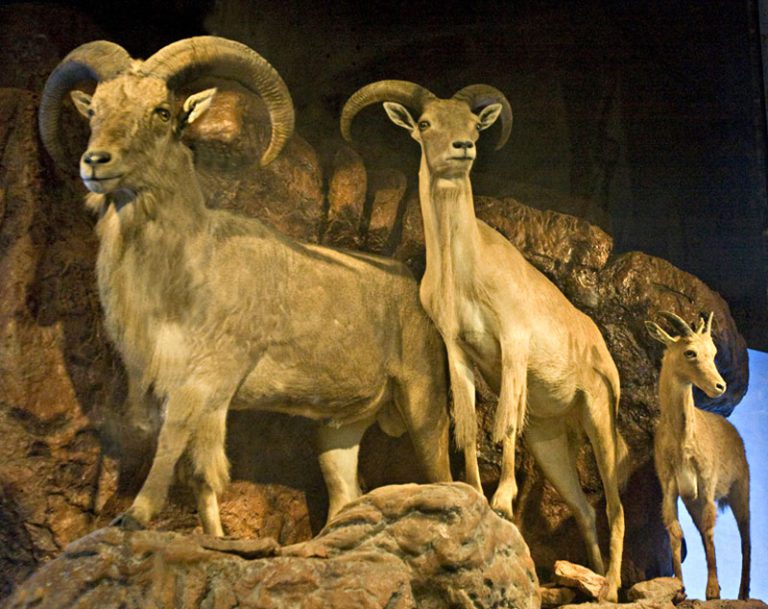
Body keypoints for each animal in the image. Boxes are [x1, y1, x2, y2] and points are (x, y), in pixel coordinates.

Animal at [38, 37, 452, 536]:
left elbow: (174, 443)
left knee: (454, 477)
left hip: (424, 402)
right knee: (345, 494)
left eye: (162, 111)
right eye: (95, 109)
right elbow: (201, 473)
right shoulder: (196, 393)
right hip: (339, 428)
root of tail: (412, 284)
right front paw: (215, 537)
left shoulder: (206, 377)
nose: (95, 162)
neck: (193, 261)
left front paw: (136, 514)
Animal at [341, 80, 627, 601]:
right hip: (550, 439)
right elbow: (470, 426)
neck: (465, 272)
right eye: (426, 123)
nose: (464, 147)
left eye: (475, 124)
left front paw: (502, 500)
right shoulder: (459, 352)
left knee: (615, 506)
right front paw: (474, 493)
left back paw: (612, 588)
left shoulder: (512, 345)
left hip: (599, 413)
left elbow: (504, 425)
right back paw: (588, 579)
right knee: (584, 506)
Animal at [646, 311, 750, 599]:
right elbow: (675, 531)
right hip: (694, 501)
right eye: (690, 352)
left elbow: (710, 528)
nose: (720, 386)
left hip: (741, 490)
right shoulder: (670, 488)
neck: (683, 442)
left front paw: (712, 591)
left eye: (713, 352)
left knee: (745, 539)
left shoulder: (707, 483)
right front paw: (680, 590)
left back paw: (742, 593)